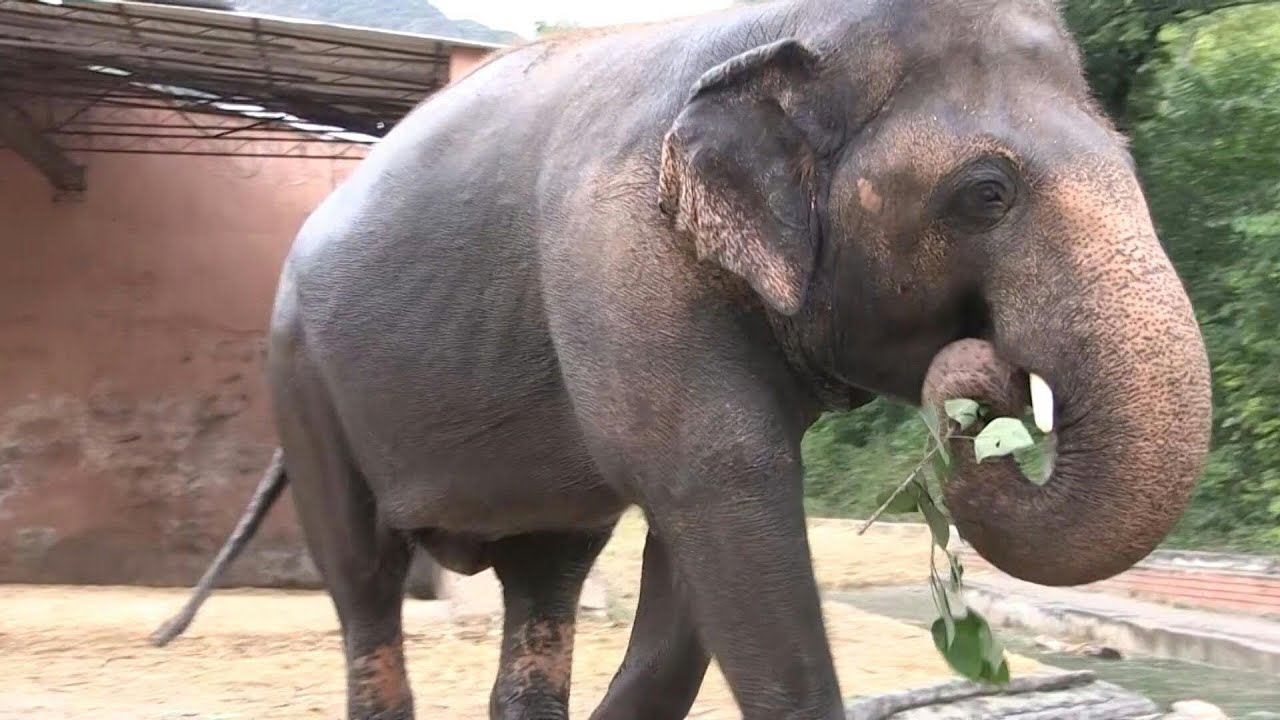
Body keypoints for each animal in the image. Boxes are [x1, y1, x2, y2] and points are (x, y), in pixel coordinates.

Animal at [150, 0, 1213, 718]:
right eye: (986, 193)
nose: (983, 390)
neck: (772, 32)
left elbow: (695, 559)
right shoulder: (623, 258)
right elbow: (721, 489)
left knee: (546, 577)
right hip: (300, 377)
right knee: (365, 580)